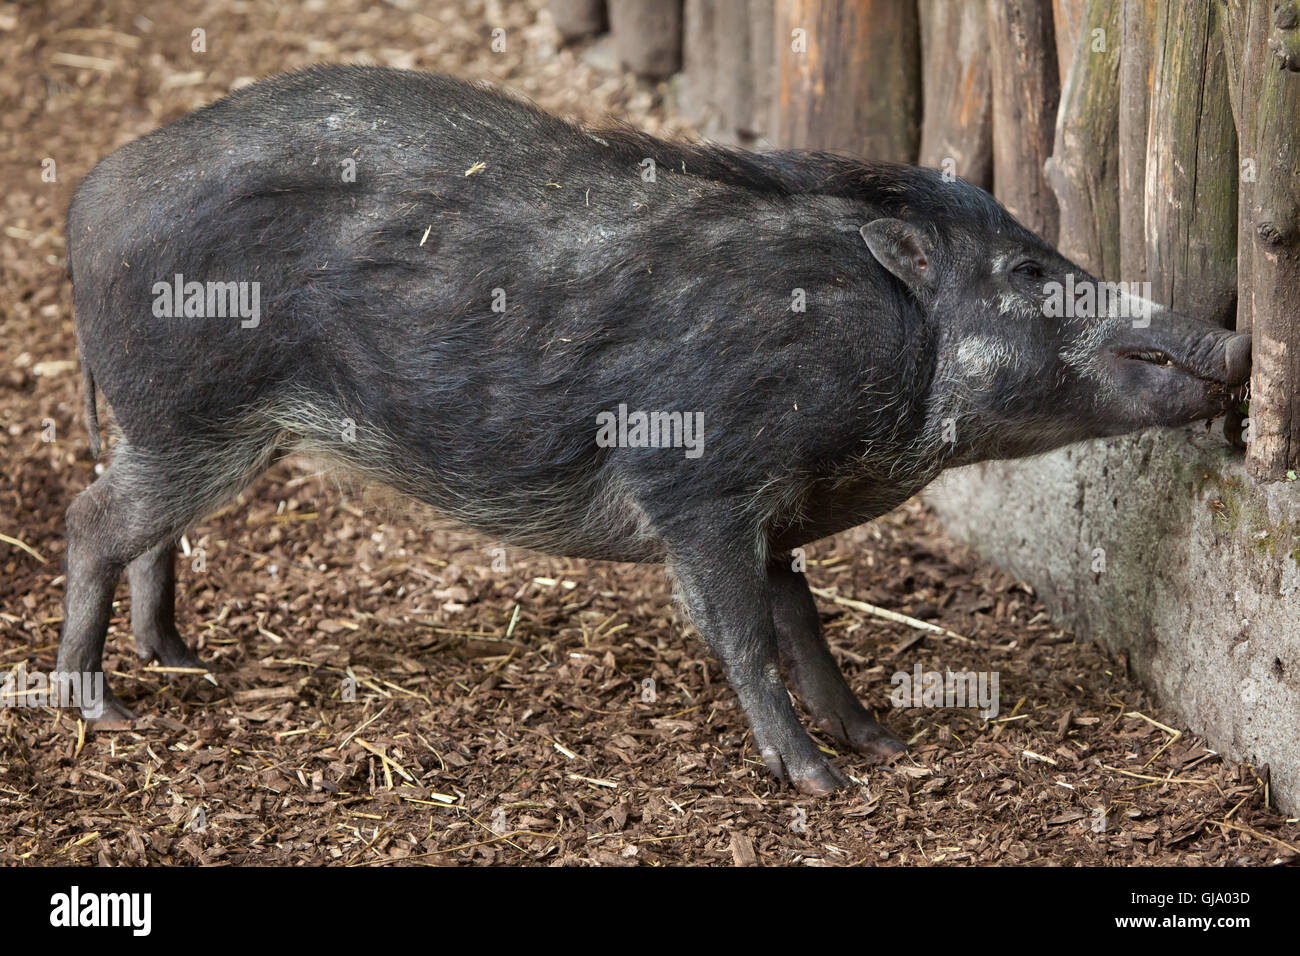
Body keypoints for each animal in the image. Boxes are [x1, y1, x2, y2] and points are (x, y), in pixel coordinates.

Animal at [57, 66, 1251, 794]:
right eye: (1029, 271)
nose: (1239, 346)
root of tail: (87, 196)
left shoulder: (775, 514)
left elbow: (805, 625)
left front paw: (883, 741)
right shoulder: (702, 488)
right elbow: (744, 636)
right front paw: (822, 783)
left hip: (200, 435)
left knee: (149, 532)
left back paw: (186, 660)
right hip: (190, 416)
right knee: (91, 519)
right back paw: (103, 707)